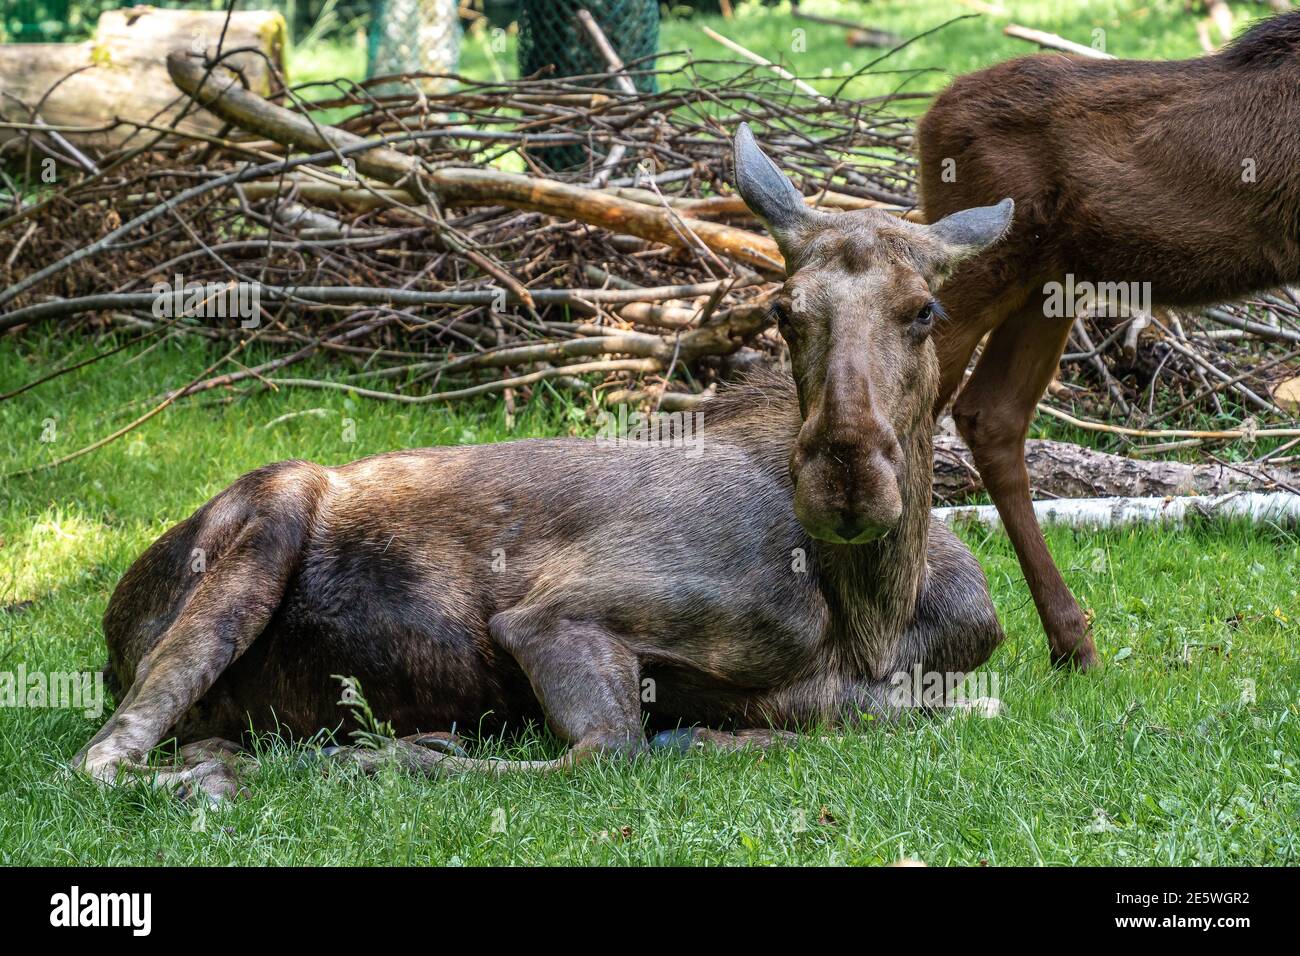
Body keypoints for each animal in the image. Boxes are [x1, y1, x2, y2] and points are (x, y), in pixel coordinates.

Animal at [70, 126, 1014, 799]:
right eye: (784, 309)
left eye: (925, 309)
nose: (846, 478)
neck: (876, 611)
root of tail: (112, 631)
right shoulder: (551, 617)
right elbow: (612, 748)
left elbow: (954, 704)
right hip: (273, 506)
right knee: (101, 759)